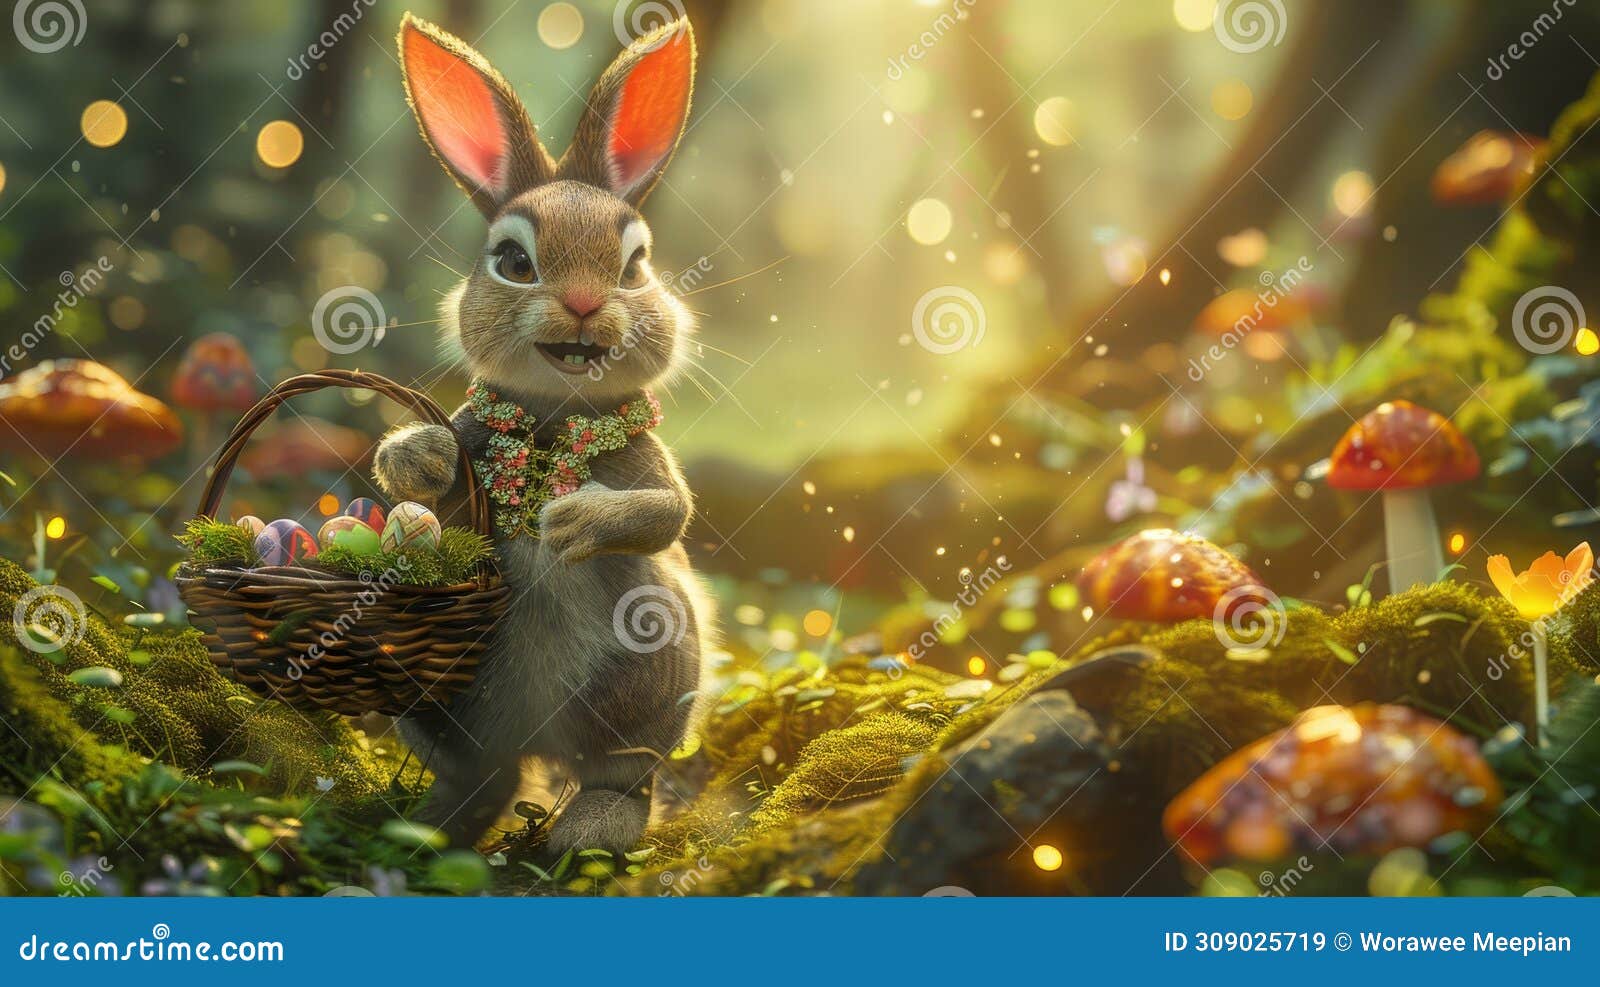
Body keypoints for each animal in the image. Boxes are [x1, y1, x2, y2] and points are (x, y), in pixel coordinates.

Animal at [371, 12, 709, 858]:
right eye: (512, 260)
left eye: (636, 266)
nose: (584, 304)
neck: (554, 419)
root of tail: (540, 743)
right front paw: (419, 463)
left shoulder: (649, 467)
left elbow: (667, 512)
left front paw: (571, 520)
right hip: (432, 699)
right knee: (484, 777)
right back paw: (430, 827)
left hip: (650, 680)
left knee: (618, 775)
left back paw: (589, 829)